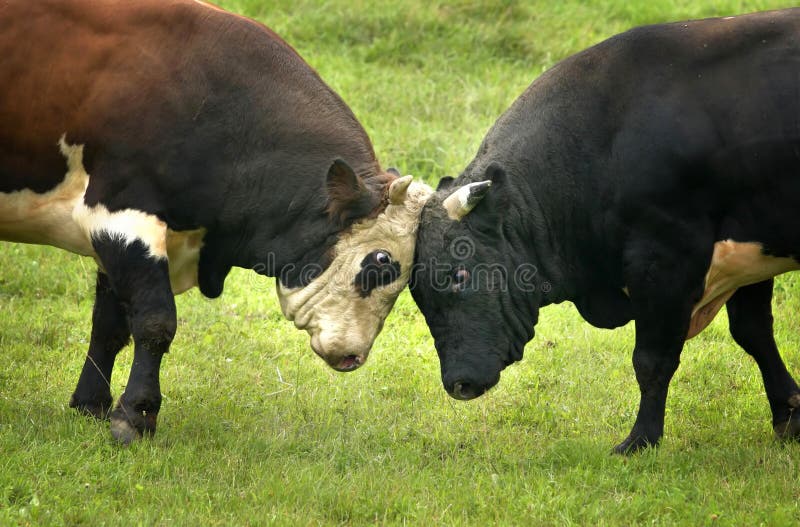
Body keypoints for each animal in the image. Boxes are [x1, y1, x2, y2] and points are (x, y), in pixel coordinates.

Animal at [0, 0, 432, 444]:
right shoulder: (121, 217)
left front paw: (91, 404)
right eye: (381, 260)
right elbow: (155, 322)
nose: (353, 356)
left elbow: (109, 324)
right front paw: (136, 415)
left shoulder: (115, 235)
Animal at [410, 8, 800, 453]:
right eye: (418, 295)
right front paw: (788, 415)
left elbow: (652, 360)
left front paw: (640, 439)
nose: (458, 384)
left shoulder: (665, 260)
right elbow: (754, 333)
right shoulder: (747, 250)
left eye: (458, 275)